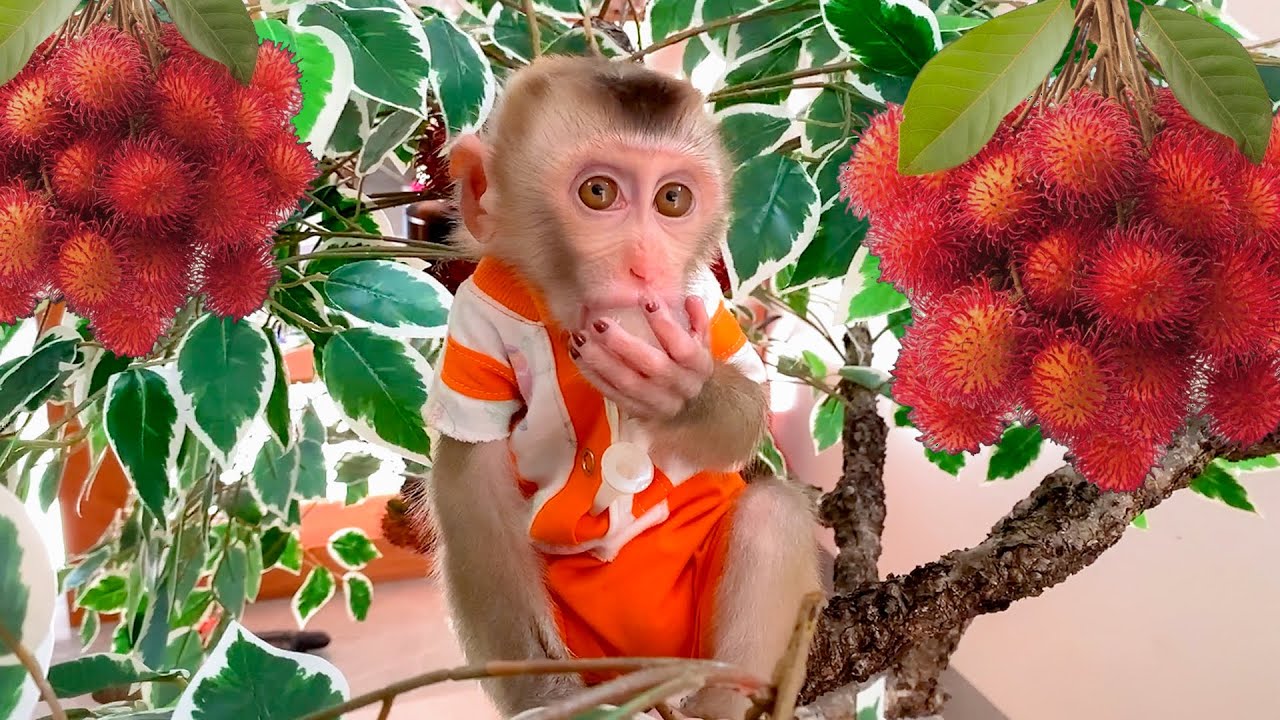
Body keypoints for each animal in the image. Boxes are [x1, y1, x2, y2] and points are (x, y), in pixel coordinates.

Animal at [418, 54, 823, 720]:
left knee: (773, 515)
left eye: (673, 199)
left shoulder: (701, 296)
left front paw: (684, 396)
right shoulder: (473, 322)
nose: (646, 264)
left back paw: (722, 698)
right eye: (599, 192)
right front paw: (546, 696)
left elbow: (745, 407)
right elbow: (470, 486)